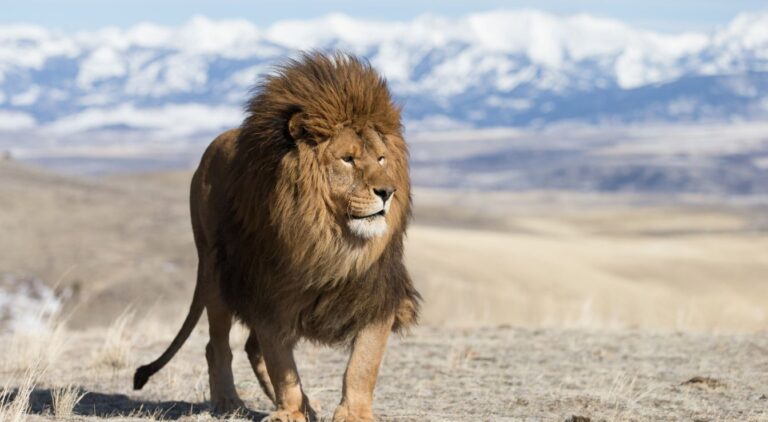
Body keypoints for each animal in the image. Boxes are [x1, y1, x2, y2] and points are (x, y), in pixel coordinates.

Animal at [133, 52, 420, 422]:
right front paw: (290, 411)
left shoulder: (375, 294)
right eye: (348, 159)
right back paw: (229, 402)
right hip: (215, 271)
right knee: (218, 345)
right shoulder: (268, 295)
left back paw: (305, 405)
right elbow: (280, 362)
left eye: (381, 158)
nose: (387, 192)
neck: (331, 241)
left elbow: (363, 363)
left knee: (250, 347)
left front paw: (352, 413)